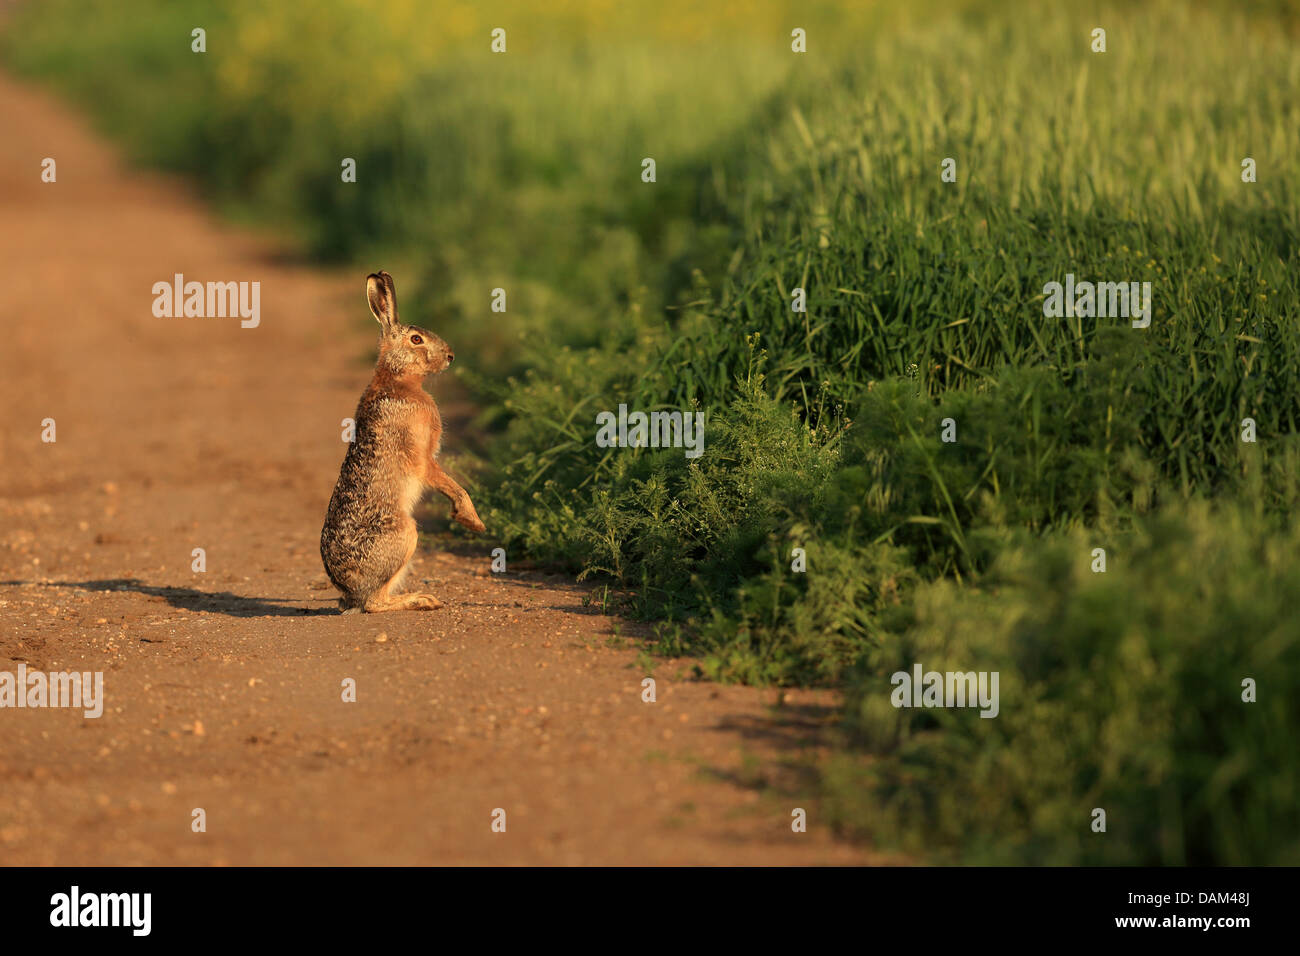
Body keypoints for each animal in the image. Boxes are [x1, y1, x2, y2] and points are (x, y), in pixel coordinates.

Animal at [320, 270, 486, 613]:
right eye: (416, 340)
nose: (450, 356)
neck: (398, 379)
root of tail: (349, 590)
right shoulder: (422, 455)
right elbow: (449, 483)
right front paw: (472, 521)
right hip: (405, 532)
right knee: (374, 603)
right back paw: (422, 600)